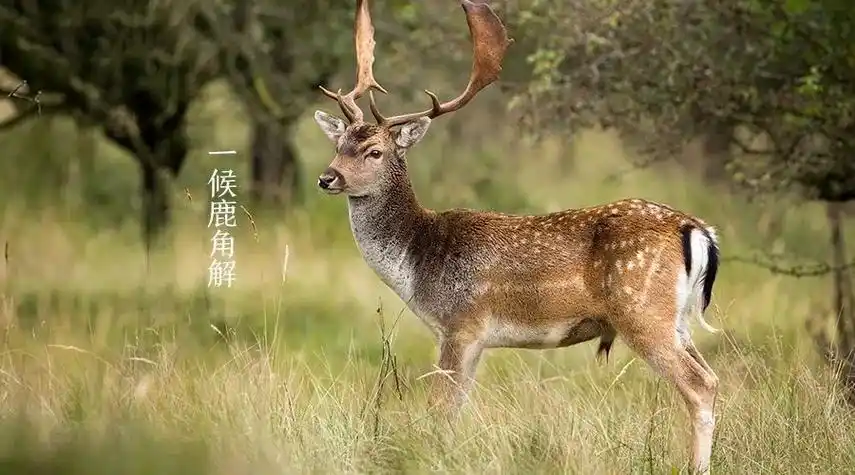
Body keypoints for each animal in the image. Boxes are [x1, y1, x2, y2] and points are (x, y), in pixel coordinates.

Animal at [311, 1, 722, 473]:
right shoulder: (470, 338)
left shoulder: (462, 324)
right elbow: (454, 409)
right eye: (339, 144)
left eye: (374, 151)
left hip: (641, 312)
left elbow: (440, 409)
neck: (416, 262)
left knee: (700, 384)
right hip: (678, 320)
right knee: (710, 378)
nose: (327, 177)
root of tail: (696, 229)